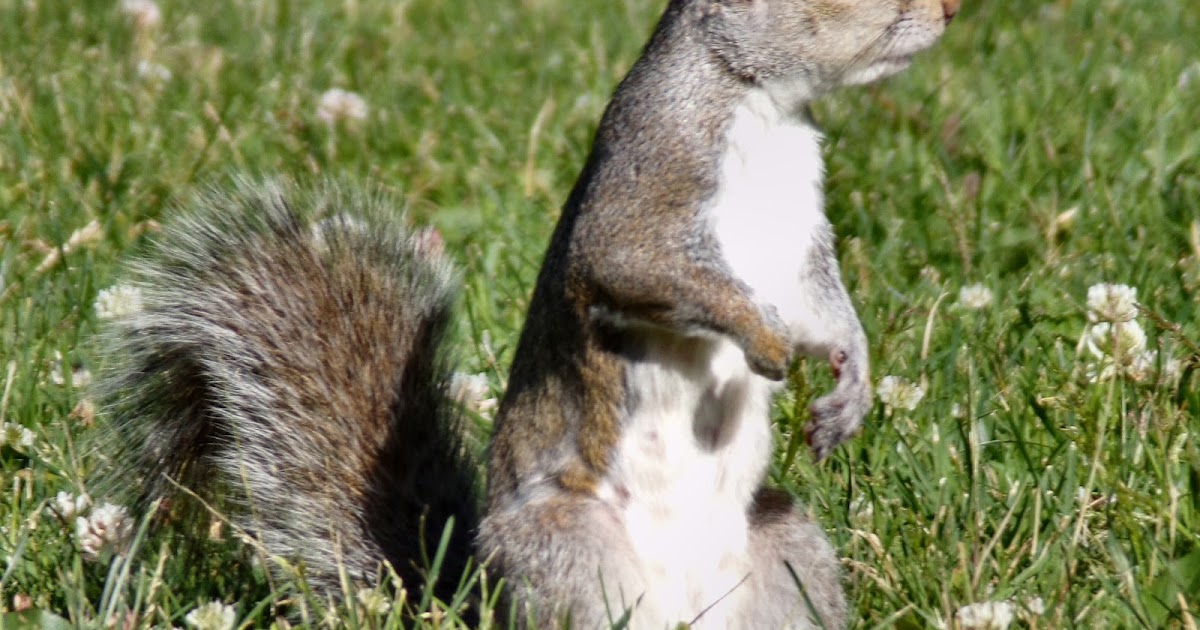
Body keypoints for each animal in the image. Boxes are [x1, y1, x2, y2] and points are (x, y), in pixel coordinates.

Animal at [95, 0, 957, 628]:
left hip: (784, 546)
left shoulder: (797, 238)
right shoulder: (646, 187)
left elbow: (822, 304)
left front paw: (851, 384)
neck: (765, 109)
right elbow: (647, 269)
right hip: (569, 556)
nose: (949, 8)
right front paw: (761, 340)